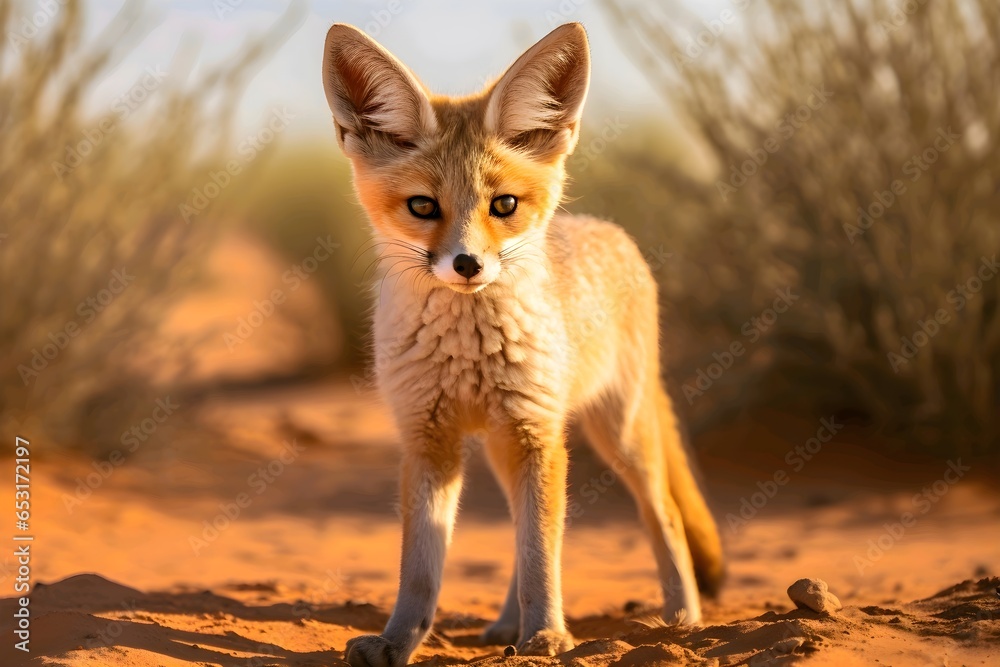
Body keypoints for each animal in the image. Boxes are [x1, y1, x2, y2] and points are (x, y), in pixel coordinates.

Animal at [322, 21, 725, 667]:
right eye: (422, 206)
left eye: (503, 205)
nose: (466, 264)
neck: (465, 353)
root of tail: (612, 231)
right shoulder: (427, 440)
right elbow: (421, 569)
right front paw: (396, 640)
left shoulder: (536, 433)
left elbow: (541, 552)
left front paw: (548, 637)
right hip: (502, 445)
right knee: (522, 531)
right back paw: (508, 623)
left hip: (617, 435)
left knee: (660, 511)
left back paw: (682, 617)